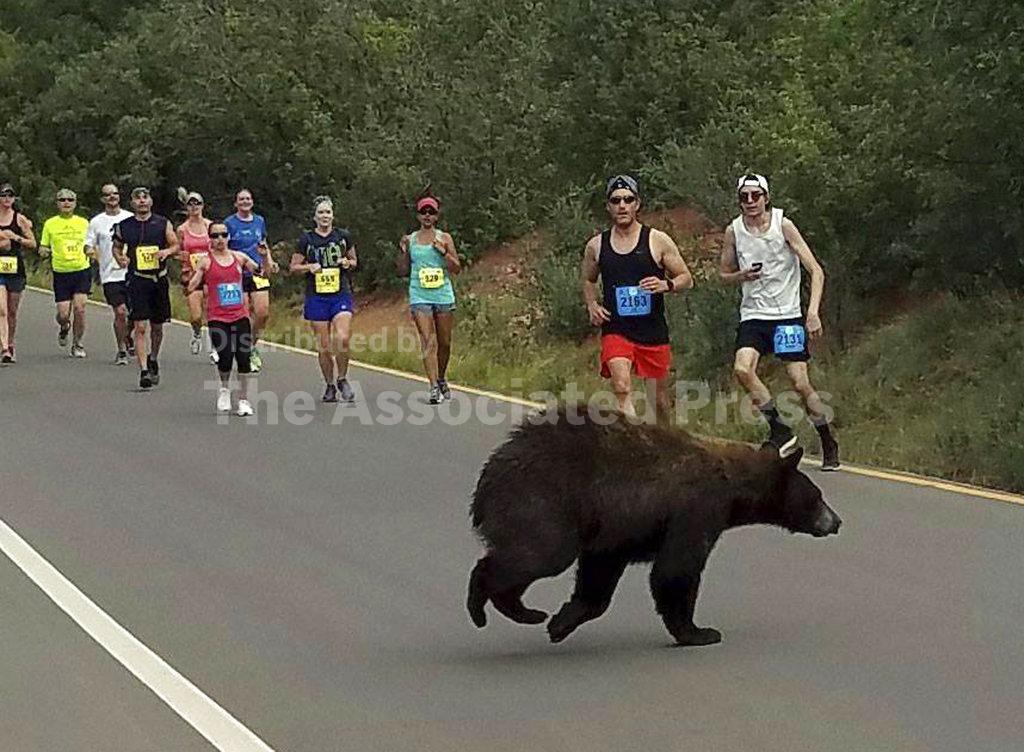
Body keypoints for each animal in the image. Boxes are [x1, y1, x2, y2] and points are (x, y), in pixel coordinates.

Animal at [467, 407, 842, 646]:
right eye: (817, 496)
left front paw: (563, 621)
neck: (735, 485)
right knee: (539, 554)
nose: (836, 521)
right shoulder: (696, 509)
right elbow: (676, 570)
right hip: (542, 503)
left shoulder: (617, 527)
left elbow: (600, 573)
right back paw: (499, 608)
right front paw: (699, 632)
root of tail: (486, 481)